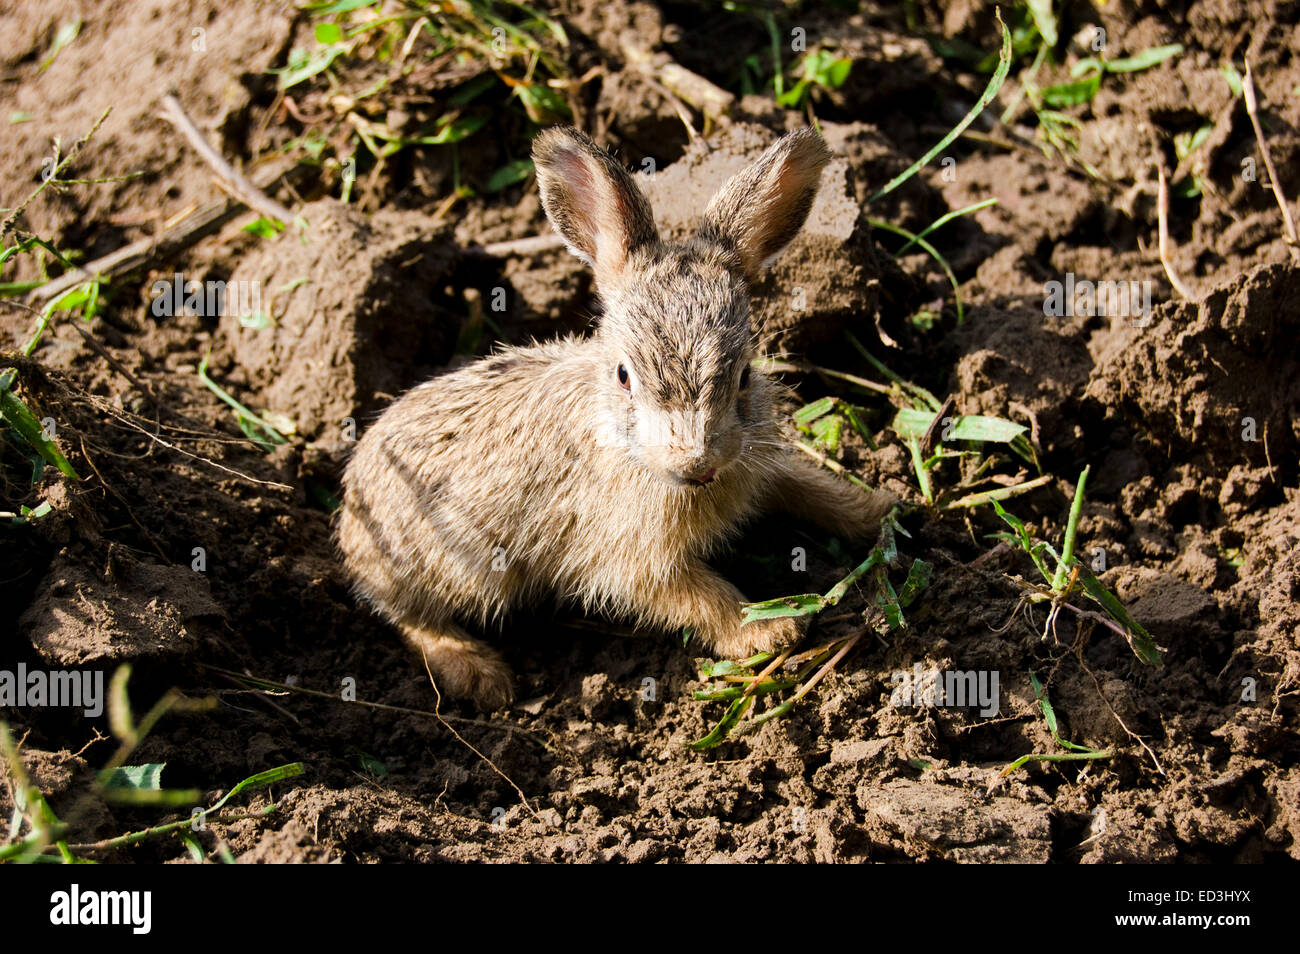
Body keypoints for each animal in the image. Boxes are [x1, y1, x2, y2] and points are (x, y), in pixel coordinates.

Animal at [336, 126, 895, 710]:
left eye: (744, 375)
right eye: (625, 375)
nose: (697, 462)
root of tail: (350, 516)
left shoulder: (760, 464)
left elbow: (809, 487)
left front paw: (879, 509)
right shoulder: (631, 558)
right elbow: (697, 595)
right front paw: (766, 631)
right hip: (458, 565)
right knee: (408, 615)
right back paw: (478, 673)